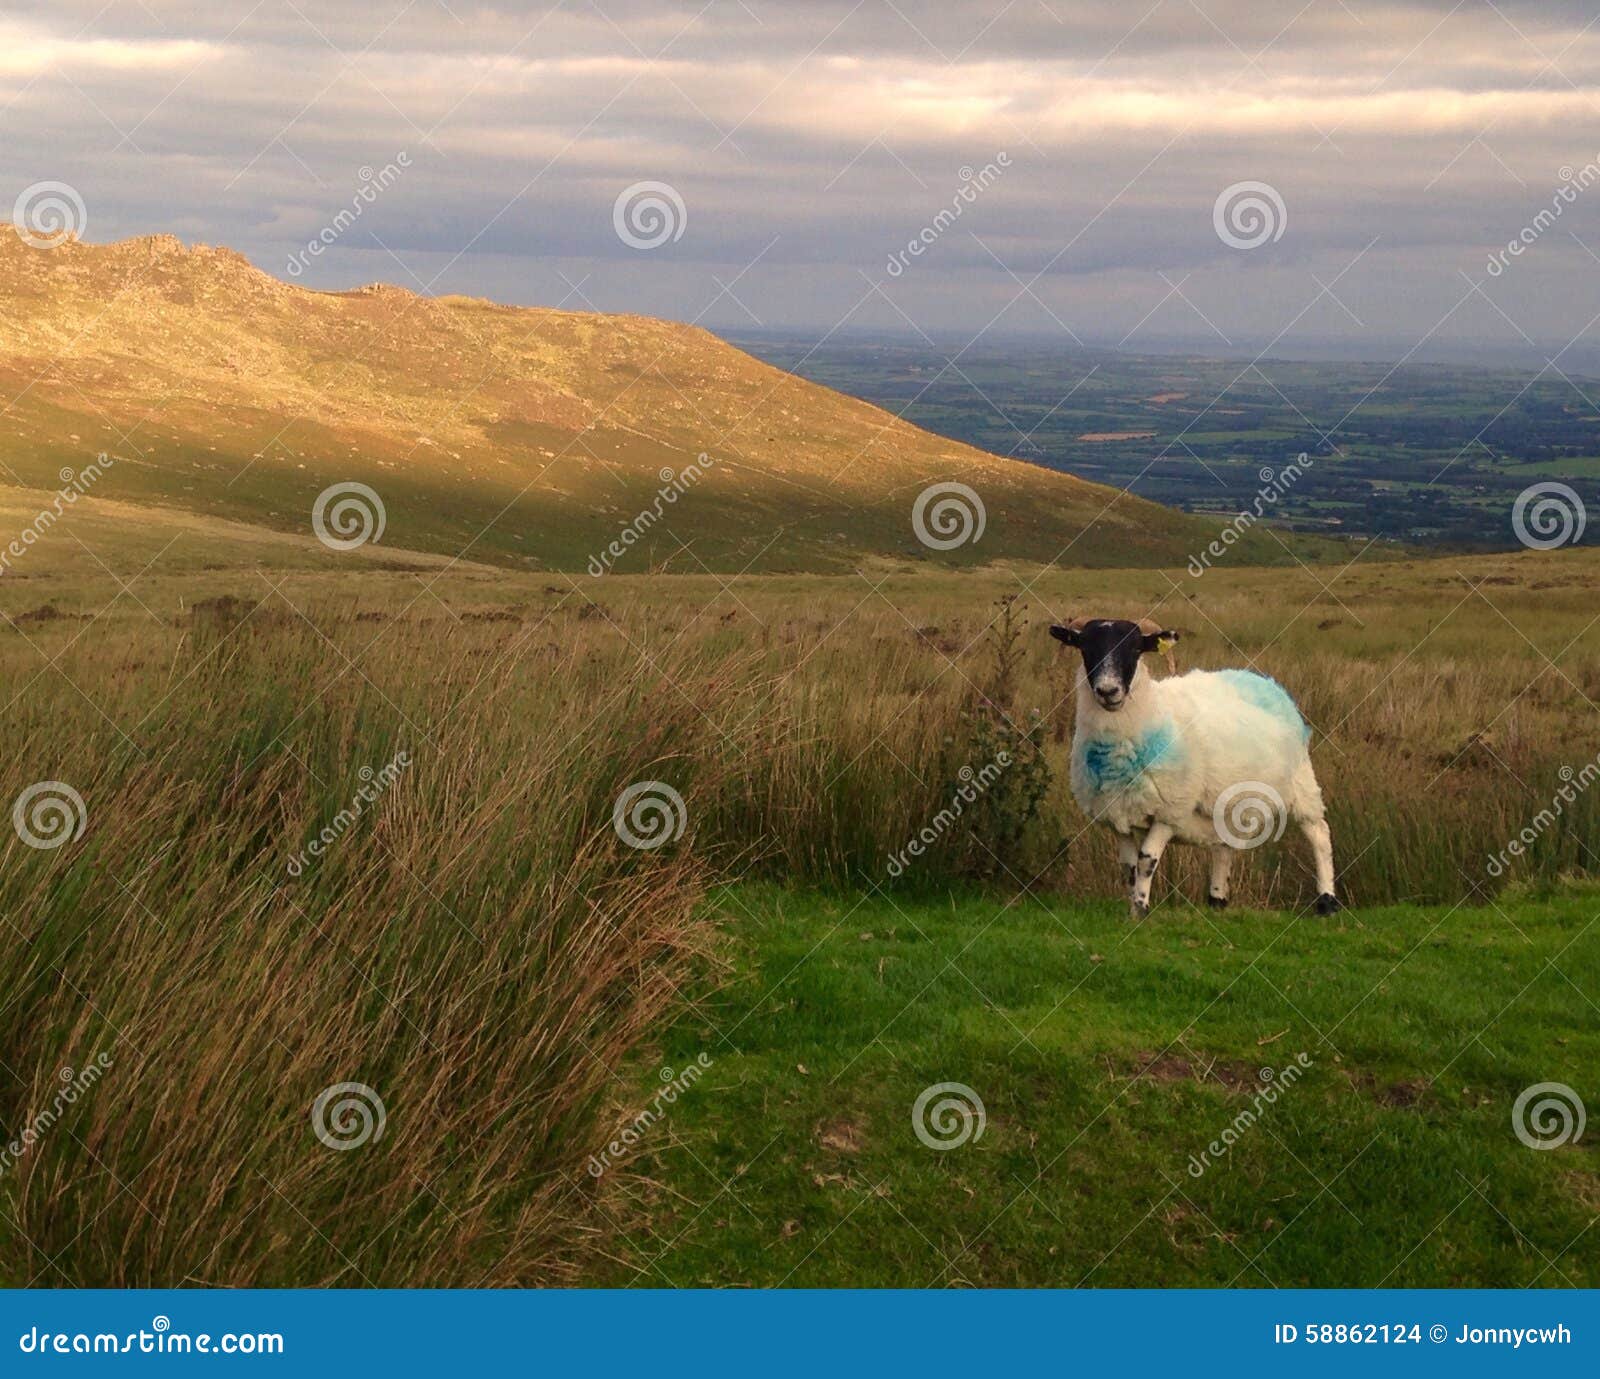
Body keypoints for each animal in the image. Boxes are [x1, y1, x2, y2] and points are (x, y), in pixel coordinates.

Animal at [1048, 617, 1338, 918]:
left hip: (1301, 782)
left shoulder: (1170, 810)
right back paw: (1217, 900)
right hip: (1227, 805)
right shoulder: (1117, 815)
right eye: (1085, 647)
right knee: (1224, 848)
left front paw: (1141, 908)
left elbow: (1146, 860)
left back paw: (1327, 901)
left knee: (1319, 833)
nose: (1108, 691)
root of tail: (1263, 681)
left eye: (1136, 648)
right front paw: (1132, 910)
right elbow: (1128, 867)